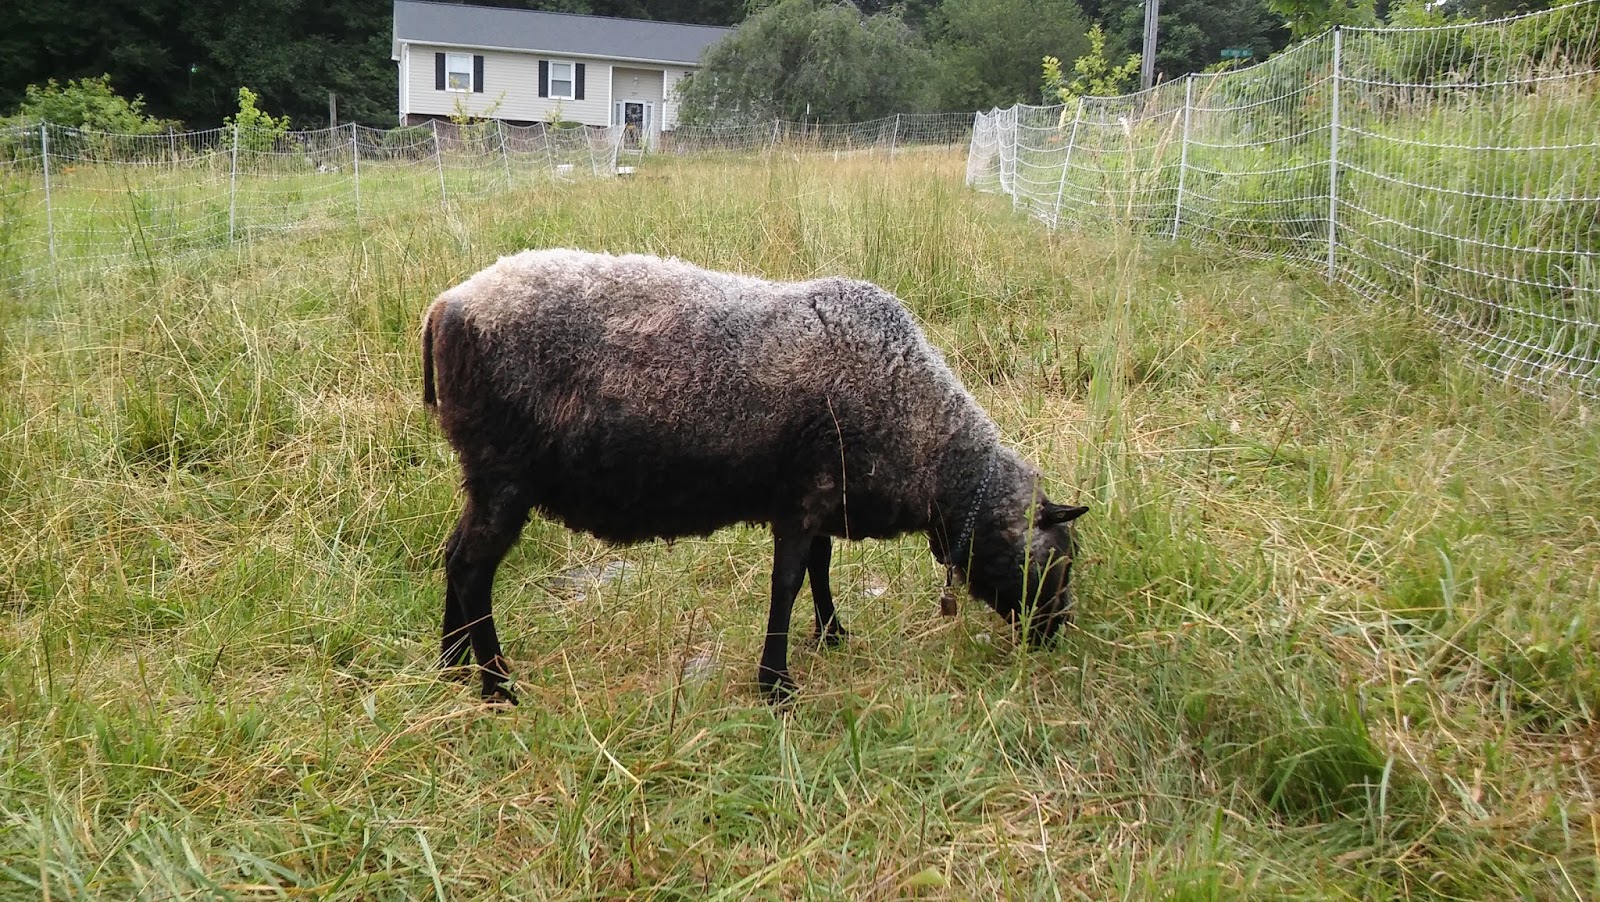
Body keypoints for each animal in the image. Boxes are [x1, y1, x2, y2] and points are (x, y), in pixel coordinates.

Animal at [421, 249, 1088, 703]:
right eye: (1059, 558)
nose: (1055, 636)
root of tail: (448, 303)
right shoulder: (802, 498)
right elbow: (787, 583)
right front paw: (777, 684)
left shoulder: (821, 498)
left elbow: (819, 567)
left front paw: (833, 635)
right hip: (503, 474)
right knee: (473, 568)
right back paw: (495, 685)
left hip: (483, 476)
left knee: (454, 555)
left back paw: (451, 666)